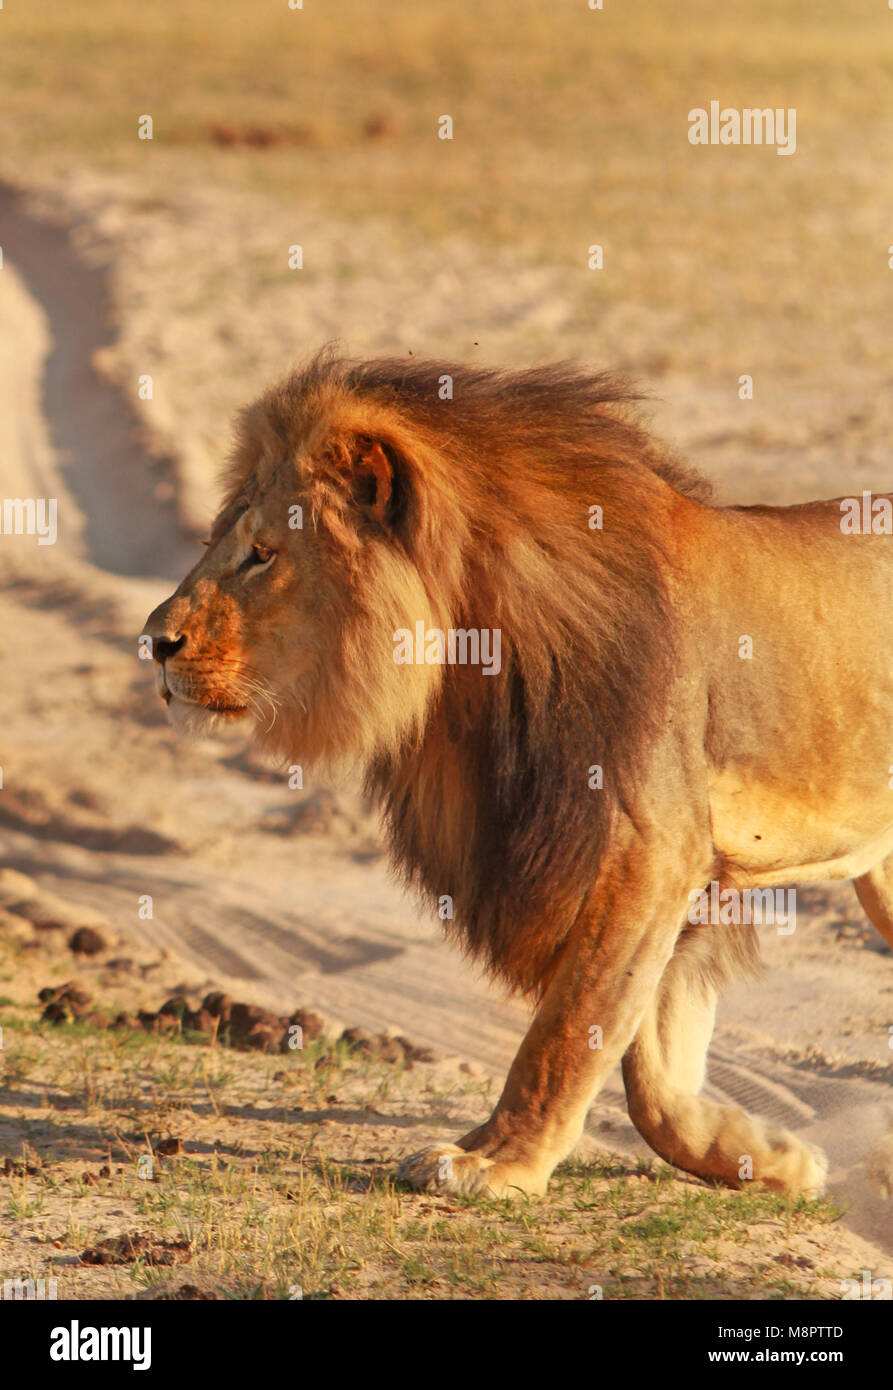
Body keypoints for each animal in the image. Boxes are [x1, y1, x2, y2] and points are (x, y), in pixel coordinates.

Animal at [142, 351, 893, 1200]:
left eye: (262, 553)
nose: (154, 642)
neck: (468, 676)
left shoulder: (643, 848)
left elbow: (568, 1031)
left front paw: (492, 1161)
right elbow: (645, 1060)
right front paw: (761, 1157)